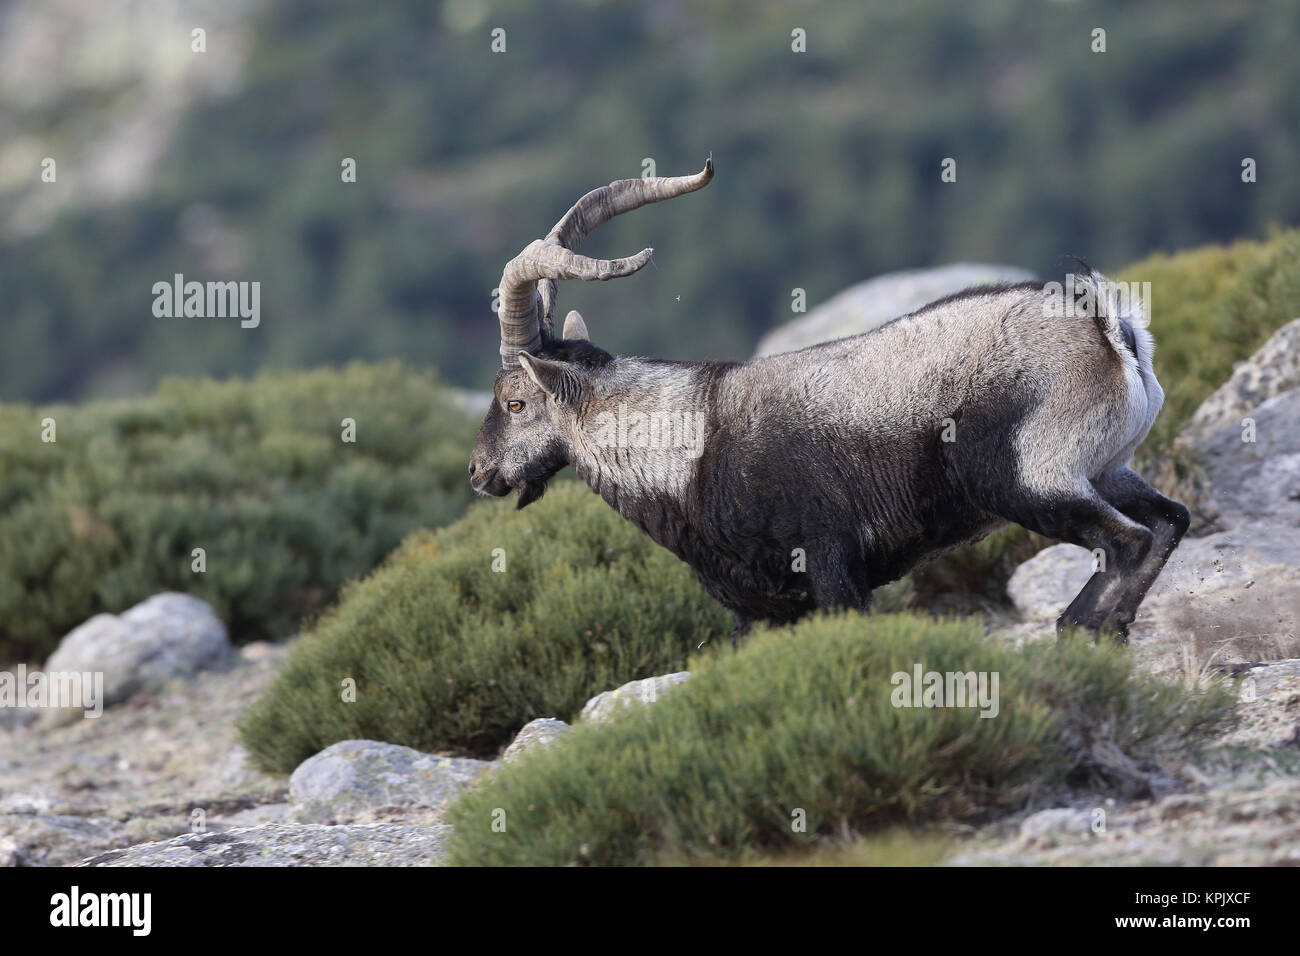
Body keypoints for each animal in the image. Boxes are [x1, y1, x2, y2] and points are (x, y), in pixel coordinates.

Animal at [468, 160, 1189, 646]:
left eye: (515, 403)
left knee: (1126, 539)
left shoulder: (828, 563)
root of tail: (1108, 329)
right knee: (1169, 520)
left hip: (1030, 476)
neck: (686, 445)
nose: (479, 472)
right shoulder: (762, 607)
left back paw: (1076, 630)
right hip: (1105, 466)